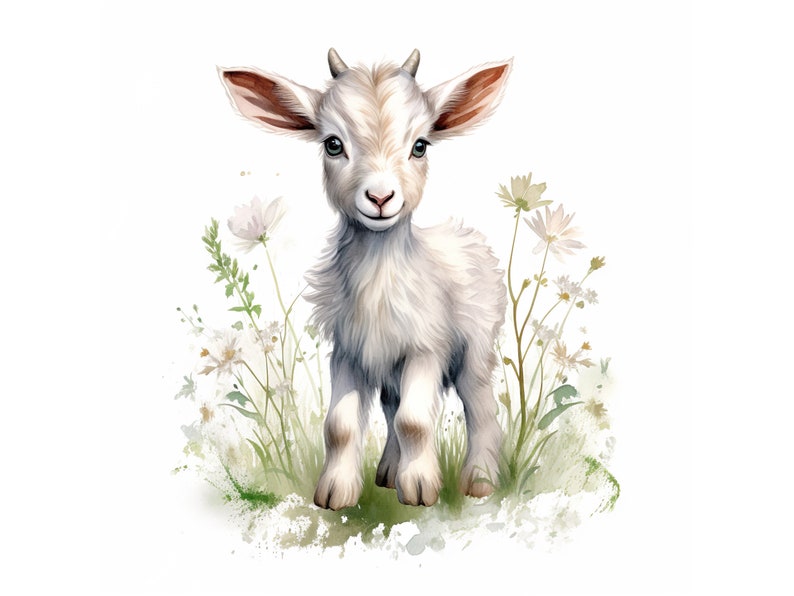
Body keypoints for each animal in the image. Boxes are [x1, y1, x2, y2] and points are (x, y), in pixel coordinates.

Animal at [220, 49, 510, 510]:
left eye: (420, 145)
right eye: (333, 144)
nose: (380, 197)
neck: (382, 276)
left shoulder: (425, 347)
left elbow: (414, 420)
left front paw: (421, 489)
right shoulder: (349, 352)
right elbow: (340, 424)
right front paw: (335, 493)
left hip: (476, 348)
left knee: (480, 407)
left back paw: (478, 480)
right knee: (391, 408)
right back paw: (388, 472)